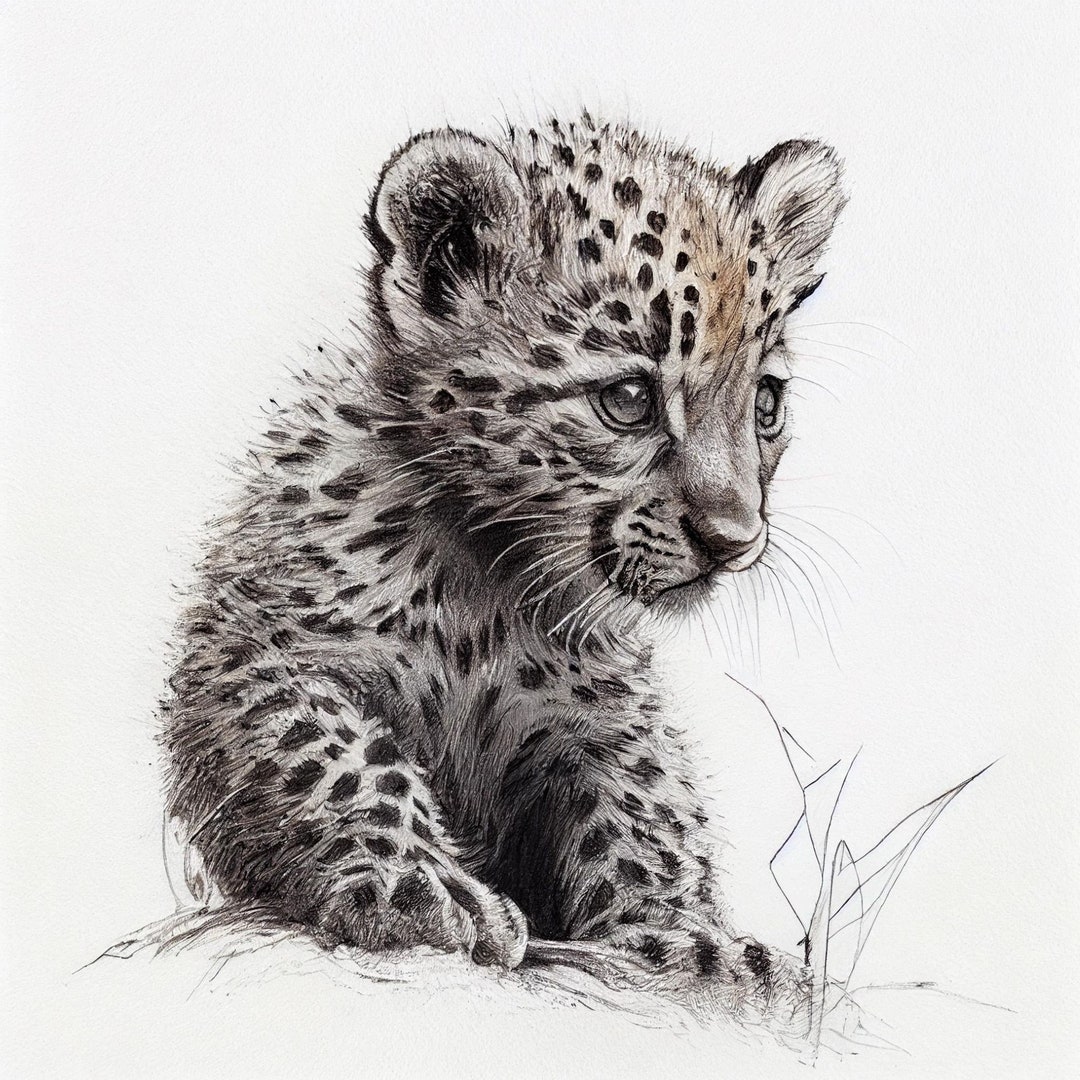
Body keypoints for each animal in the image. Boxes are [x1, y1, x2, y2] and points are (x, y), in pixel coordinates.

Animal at [162, 112, 845, 1028]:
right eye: (628, 399)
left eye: (765, 404)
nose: (734, 538)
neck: (486, 576)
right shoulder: (252, 651)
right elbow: (339, 756)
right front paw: (416, 886)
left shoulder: (606, 712)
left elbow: (650, 809)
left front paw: (694, 942)